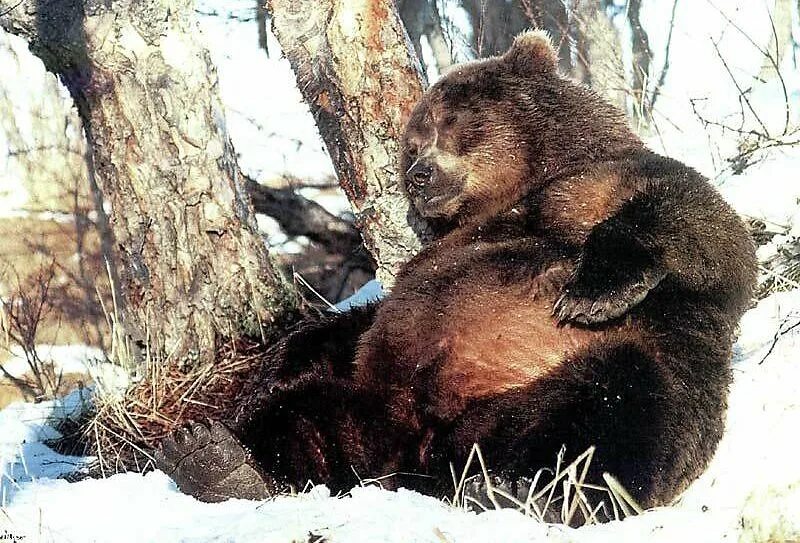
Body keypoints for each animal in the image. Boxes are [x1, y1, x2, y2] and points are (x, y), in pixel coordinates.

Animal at [154, 30, 756, 520]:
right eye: (411, 144)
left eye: (449, 123)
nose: (419, 175)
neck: (512, 193)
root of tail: (417, 455)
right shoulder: (425, 271)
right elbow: (352, 324)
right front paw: (275, 362)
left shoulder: (599, 182)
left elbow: (702, 224)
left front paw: (593, 290)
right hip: (375, 403)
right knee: (304, 416)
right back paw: (216, 459)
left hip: (574, 378)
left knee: (612, 410)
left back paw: (527, 490)